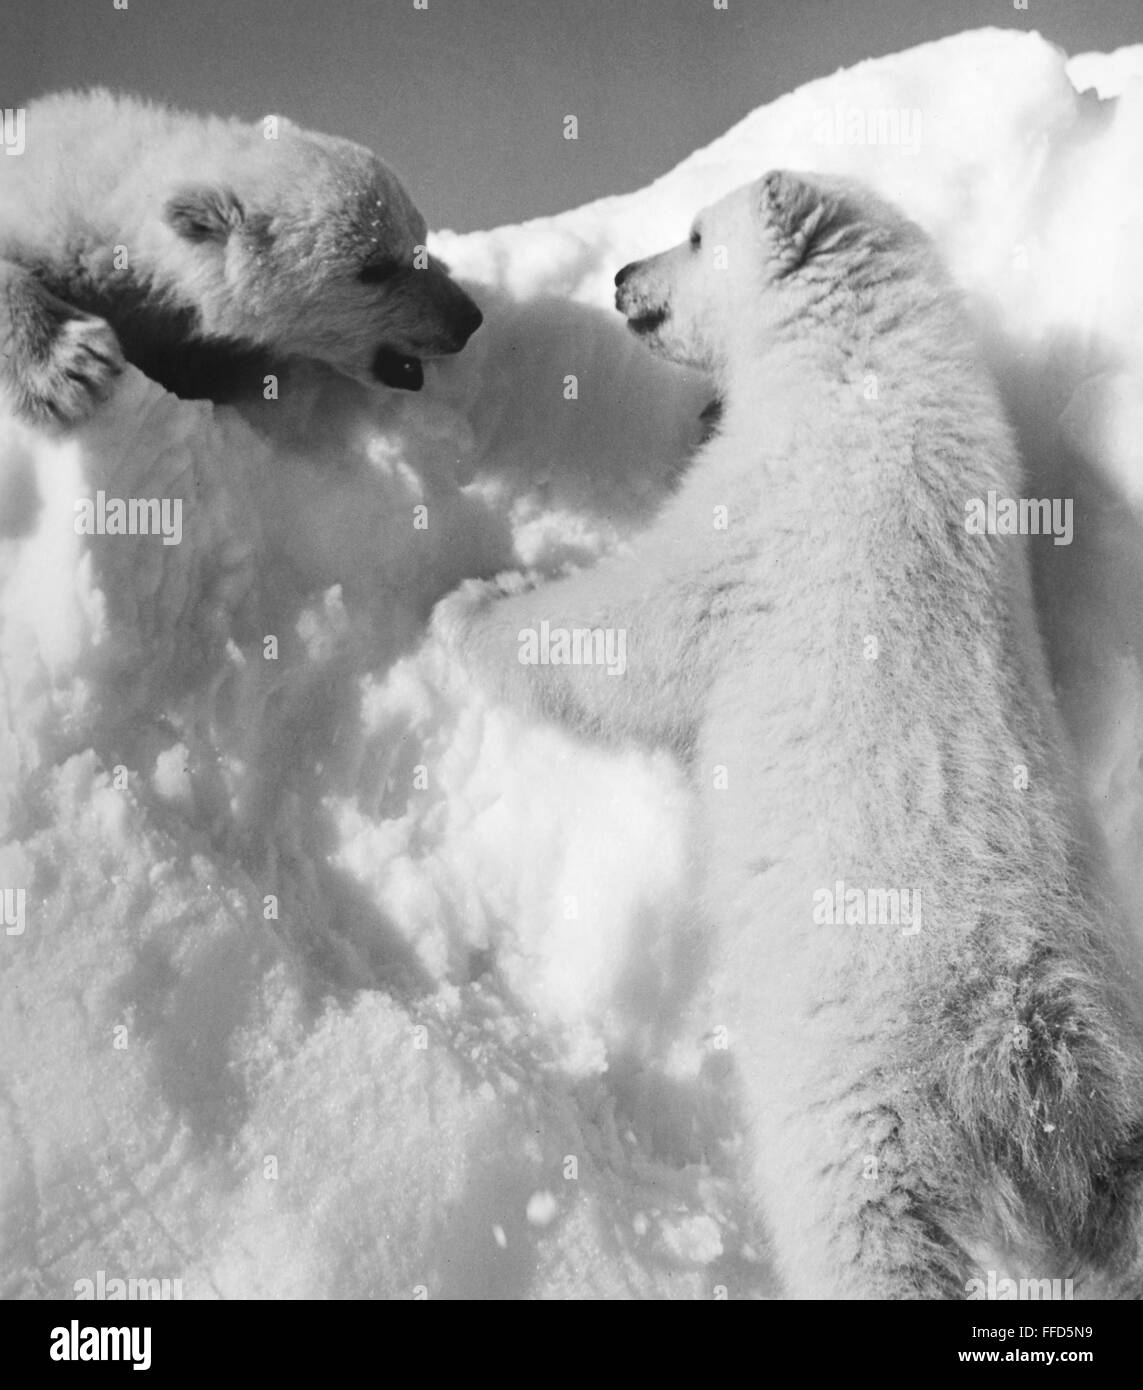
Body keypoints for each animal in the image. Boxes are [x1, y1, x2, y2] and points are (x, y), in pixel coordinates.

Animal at [434, 170, 1143, 1298]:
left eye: (692, 234)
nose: (622, 277)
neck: (866, 369)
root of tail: (1025, 1059)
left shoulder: (769, 508)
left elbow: (642, 627)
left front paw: (471, 605)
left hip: (866, 1102)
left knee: (857, 1228)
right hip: (1113, 1108)